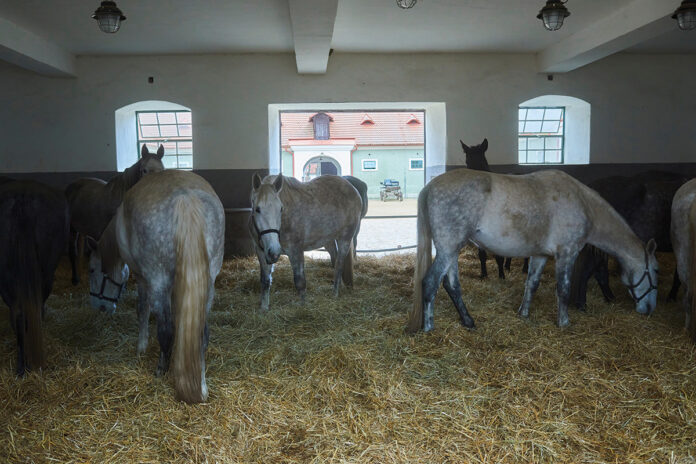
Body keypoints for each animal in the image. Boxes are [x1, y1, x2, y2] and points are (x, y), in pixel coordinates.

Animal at [88, 170, 224, 403]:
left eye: (92, 270)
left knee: (165, 330)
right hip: (209, 282)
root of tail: (184, 197)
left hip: (157, 279)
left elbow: (142, 309)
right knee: (202, 333)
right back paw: (201, 382)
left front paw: (141, 347)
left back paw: (161, 371)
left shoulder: (143, 278)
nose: (100, 307)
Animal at [249, 173, 362, 311]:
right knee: (334, 260)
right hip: (328, 241)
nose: (274, 252)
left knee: (339, 266)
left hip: (344, 239)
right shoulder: (261, 252)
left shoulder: (295, 251)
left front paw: (303, 307)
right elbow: (265, 281)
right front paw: (264, 308)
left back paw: (335, 293)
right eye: (257, 209)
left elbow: (300, 282)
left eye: (281, 209)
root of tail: (353, 189)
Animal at [406, 168, 658, 334]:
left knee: (452, 285)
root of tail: (430, 187)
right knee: (430, 282)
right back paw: (429, 328)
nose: (649, 309)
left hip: (451, 251)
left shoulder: (540, 255)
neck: (584, 204)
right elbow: (563, 289)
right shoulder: (567, 254)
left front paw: (524, 313)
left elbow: (532, 284)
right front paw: (564, 323)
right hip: (448, 249)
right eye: (656, 271)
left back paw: (468, 322)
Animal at [460, 139, 528, 278]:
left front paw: (501, 275)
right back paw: (508, 266)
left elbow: (498, 255)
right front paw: (484, 274)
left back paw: (524, 268)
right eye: (467, 161)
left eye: (482, 161)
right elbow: (482, 254)